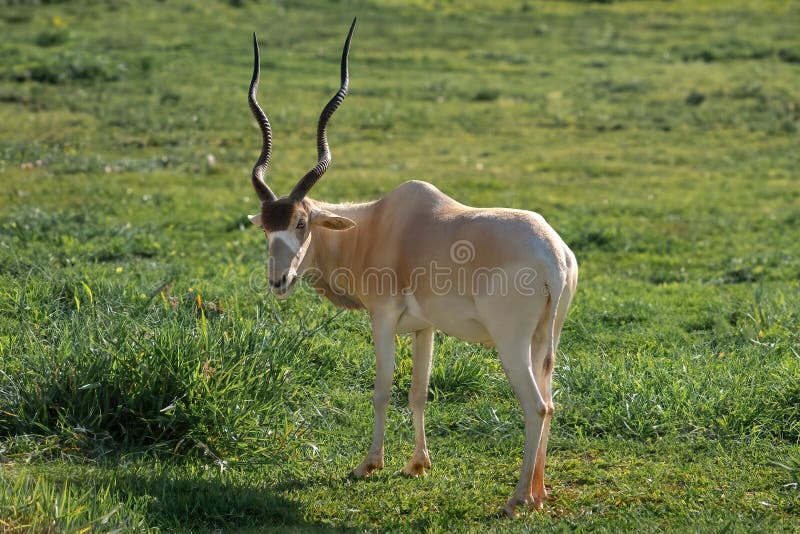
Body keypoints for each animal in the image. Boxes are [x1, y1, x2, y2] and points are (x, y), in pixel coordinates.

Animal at [246, 19, 578, 517]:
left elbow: (383, 388)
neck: (378, 226)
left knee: (537, 407)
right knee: (551, 400)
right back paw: (538, 493)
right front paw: (417, 464)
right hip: (545, 339)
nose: (279, 280)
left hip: (510, 342)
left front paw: (368, 465)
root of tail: (554, 256)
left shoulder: (382, 319)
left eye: (302, 223)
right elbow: (418, 391)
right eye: (267, 227)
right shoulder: (426, 329)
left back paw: (516, 498)